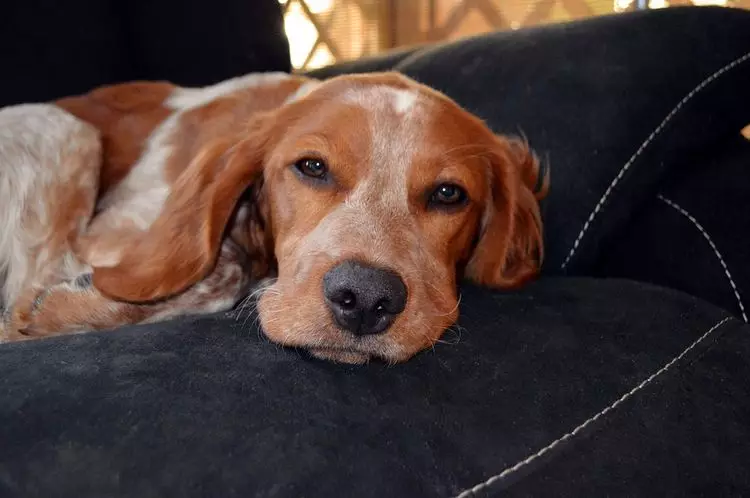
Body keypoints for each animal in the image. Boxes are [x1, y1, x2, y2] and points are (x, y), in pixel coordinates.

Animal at [0, 71, 552, 362]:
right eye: (312, 166)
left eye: (448, 193)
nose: (365, 299)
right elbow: (216, 271)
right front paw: (65, 305)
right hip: (65, 130)